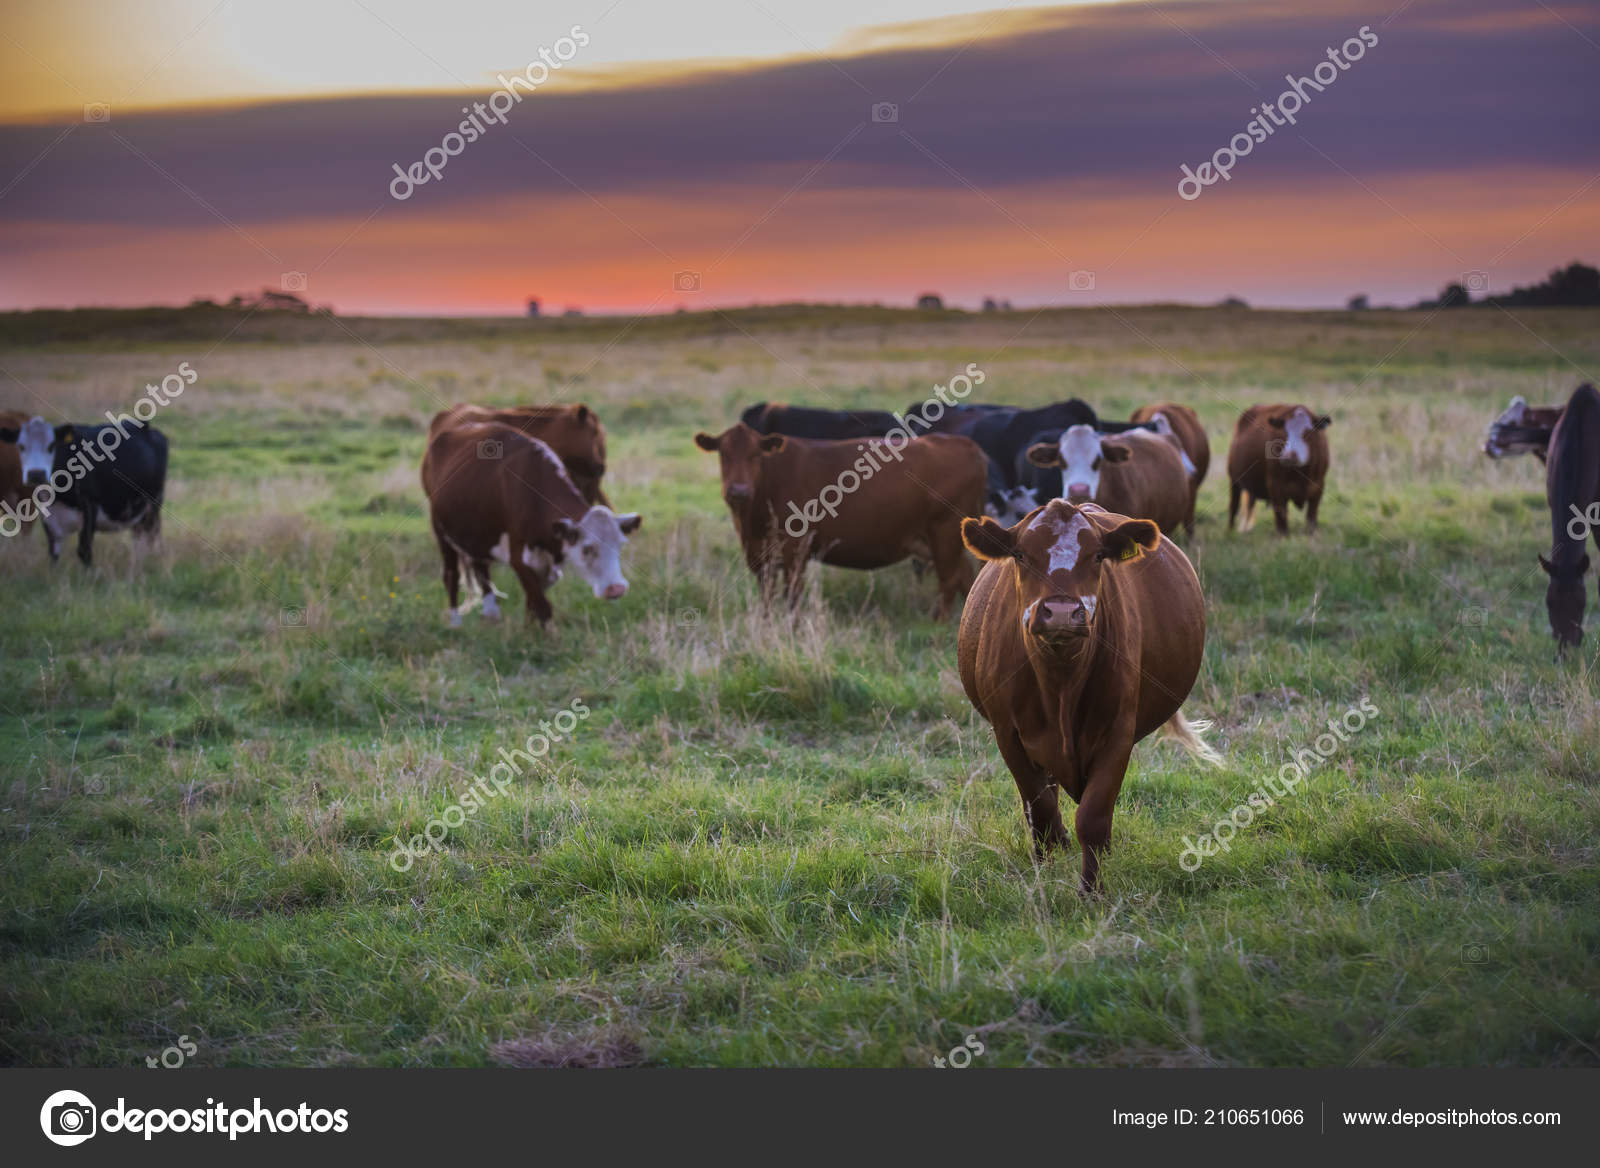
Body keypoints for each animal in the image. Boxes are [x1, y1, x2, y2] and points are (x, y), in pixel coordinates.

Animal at [0, 415, 167, 565]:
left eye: (52, 445)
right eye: (21, 446)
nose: (36, 474)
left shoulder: (89, 508)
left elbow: (84, 550)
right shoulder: (48, 515)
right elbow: (53, 553)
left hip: (152, 506)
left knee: (150, 535)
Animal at [421, 422, 641, 627]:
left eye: (621, 545)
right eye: (587, 548)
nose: (616, 588)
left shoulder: (549, 567)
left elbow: (532, 603)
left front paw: (528, 630)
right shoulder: (518, 558)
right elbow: (542, 606)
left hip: (476, 533)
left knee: (480, 566)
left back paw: (491, 613)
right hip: (440, 530)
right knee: (451, 575)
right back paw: (455, 623)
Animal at [693, 423, 987, 619]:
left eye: (756, 455)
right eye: (723, 454)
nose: (738, 491)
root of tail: (964, 443)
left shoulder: (795, 548)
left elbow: (792, 595)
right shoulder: (758, 555)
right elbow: (766, 596)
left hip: (945, 533)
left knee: (949, 581)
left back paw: (938, 625)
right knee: (965, 577)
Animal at [957, 499, 1218, 892]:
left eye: (1097, 555)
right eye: (1020, 554)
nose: (1062, 613)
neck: (1060, 683)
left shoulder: (1118, 732)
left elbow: (1093, 816)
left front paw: (1091, 890)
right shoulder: (1007, 733)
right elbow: (1041, 809)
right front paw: (1046, 868)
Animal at [1226, 404, 1331, 536]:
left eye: (1308, 432)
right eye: (1284, 432)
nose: (1289, 456)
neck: (1301, 473)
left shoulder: (1318, 487)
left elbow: (1311, 516)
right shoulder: (1275, 487)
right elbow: (1281, 517)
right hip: (1234, 481)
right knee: (1233, 507)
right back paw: (1230, 532)